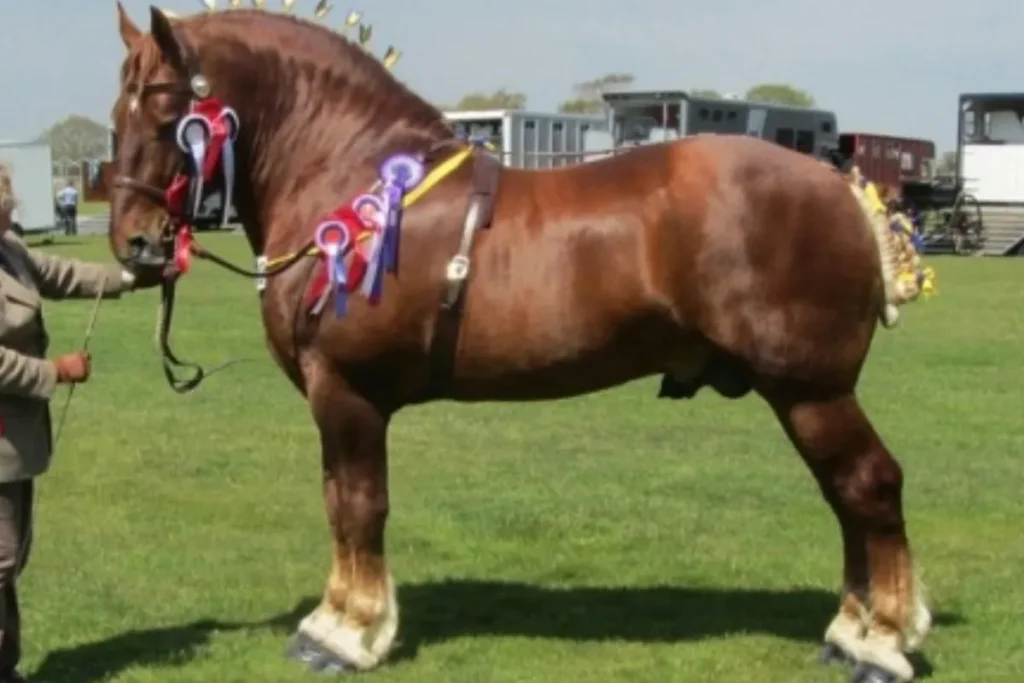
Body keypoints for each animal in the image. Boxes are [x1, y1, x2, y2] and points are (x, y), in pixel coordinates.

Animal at [107, 5, 932, 682]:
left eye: (167, 106)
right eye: (118, 111)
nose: (136, 243)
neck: (353, 179)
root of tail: (842, 188)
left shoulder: (348, 392)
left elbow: (359, 506)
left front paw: (349, 632)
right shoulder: (333, 399)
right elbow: (337, 500)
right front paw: (335, 618)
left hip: (812, 390)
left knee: (869, 486)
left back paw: (883, 641)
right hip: (805, 396)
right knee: (845, 496)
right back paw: (851, 632)